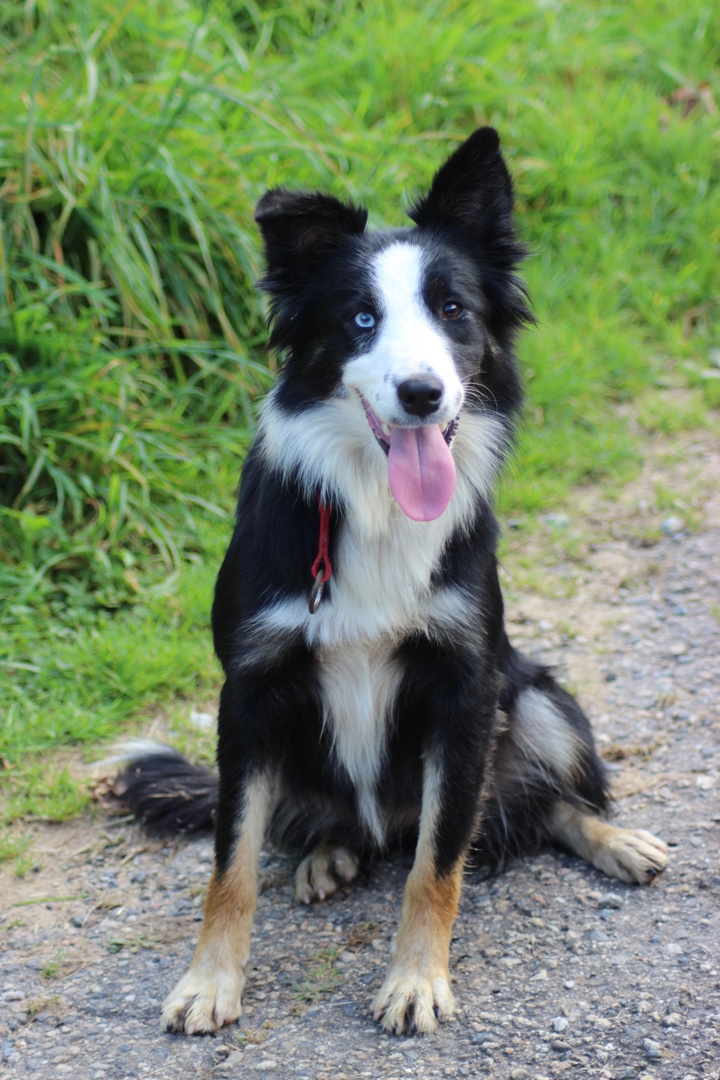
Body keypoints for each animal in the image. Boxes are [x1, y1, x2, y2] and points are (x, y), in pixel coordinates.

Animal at [115, 126, 669, 1036]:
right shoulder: (251, 691)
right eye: (361, 319)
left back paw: (616, 842)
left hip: (537, 697)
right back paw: (327, 856)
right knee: (323, 827)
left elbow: (437, 864)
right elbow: (231, 864)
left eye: (453, 312)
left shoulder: (466, 685)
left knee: (532, 804)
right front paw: (209, 982)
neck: (374, 502)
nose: (422, 392)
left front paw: (416, 980)